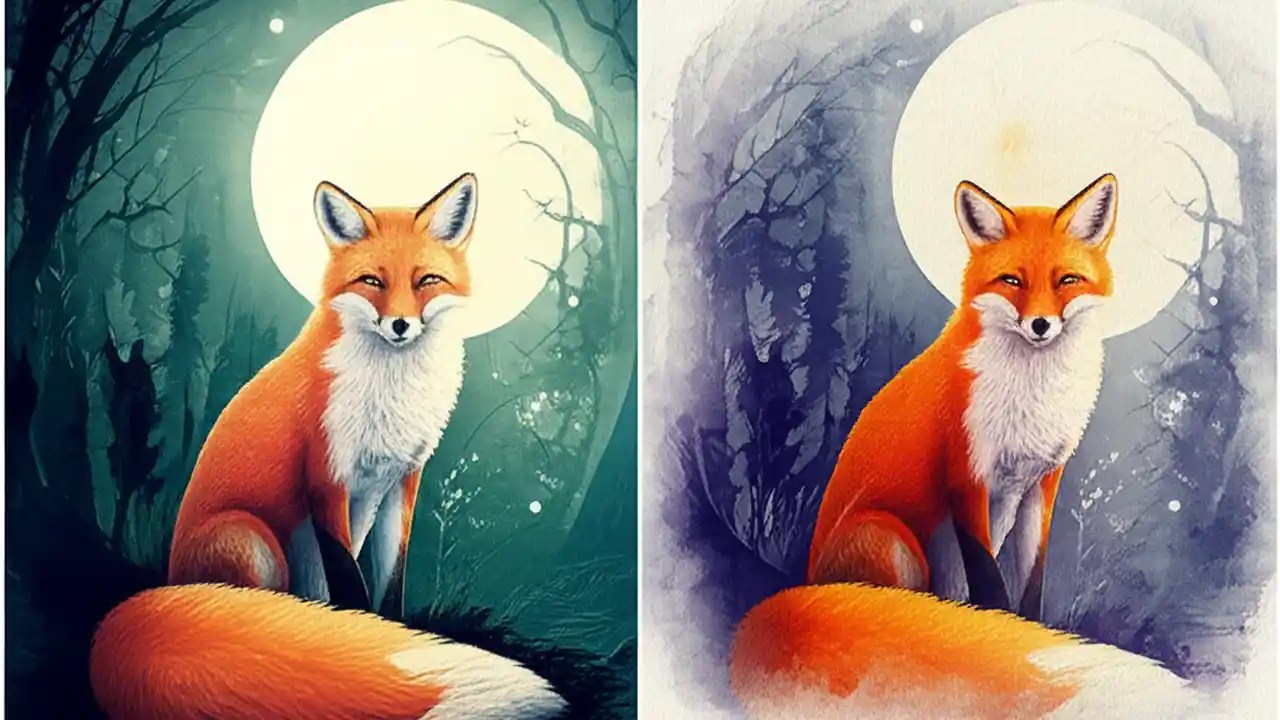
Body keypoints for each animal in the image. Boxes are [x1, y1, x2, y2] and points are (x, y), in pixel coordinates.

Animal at [89, 174, 566, 719]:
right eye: (372, 282)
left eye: (426, 281)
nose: (400, 326)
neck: (390, 391)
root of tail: (165, 586)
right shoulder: (326, 478)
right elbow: (350, 582)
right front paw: (368, 644)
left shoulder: (401, 483)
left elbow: (389, 580)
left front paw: (392, 631)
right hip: (254, 542)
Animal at [730, 175, 1201, 718]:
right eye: (1012, 281)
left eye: (1066, 280)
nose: (1041, 325)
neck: (1031, 394)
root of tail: (805, 585)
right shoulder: (966, 476)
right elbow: (991, 585)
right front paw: (1007, 643)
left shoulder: (1040, 487)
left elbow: (1030, 583)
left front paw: (1032, 631)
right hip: (893, 540)